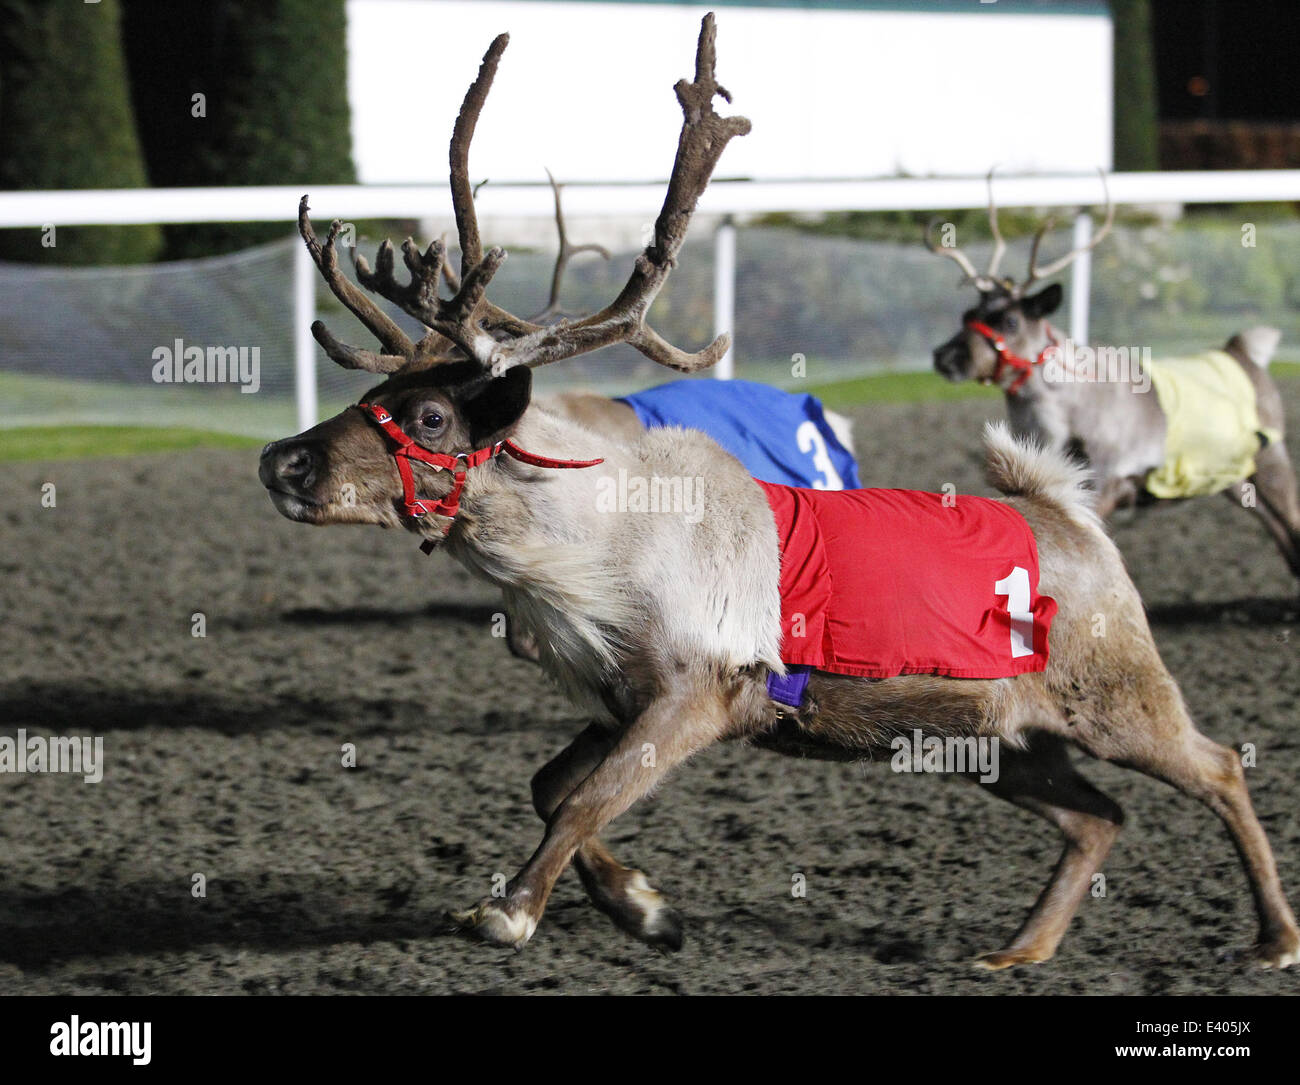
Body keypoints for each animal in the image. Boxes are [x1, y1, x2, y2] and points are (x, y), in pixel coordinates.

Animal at [928, 176, 1300, 580]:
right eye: (968, 314)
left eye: (1011, 321)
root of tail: (1242, 351)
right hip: (1235, 478)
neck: (1062, 417)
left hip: (1272, 460)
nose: (944, 356)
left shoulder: (1105, 482)